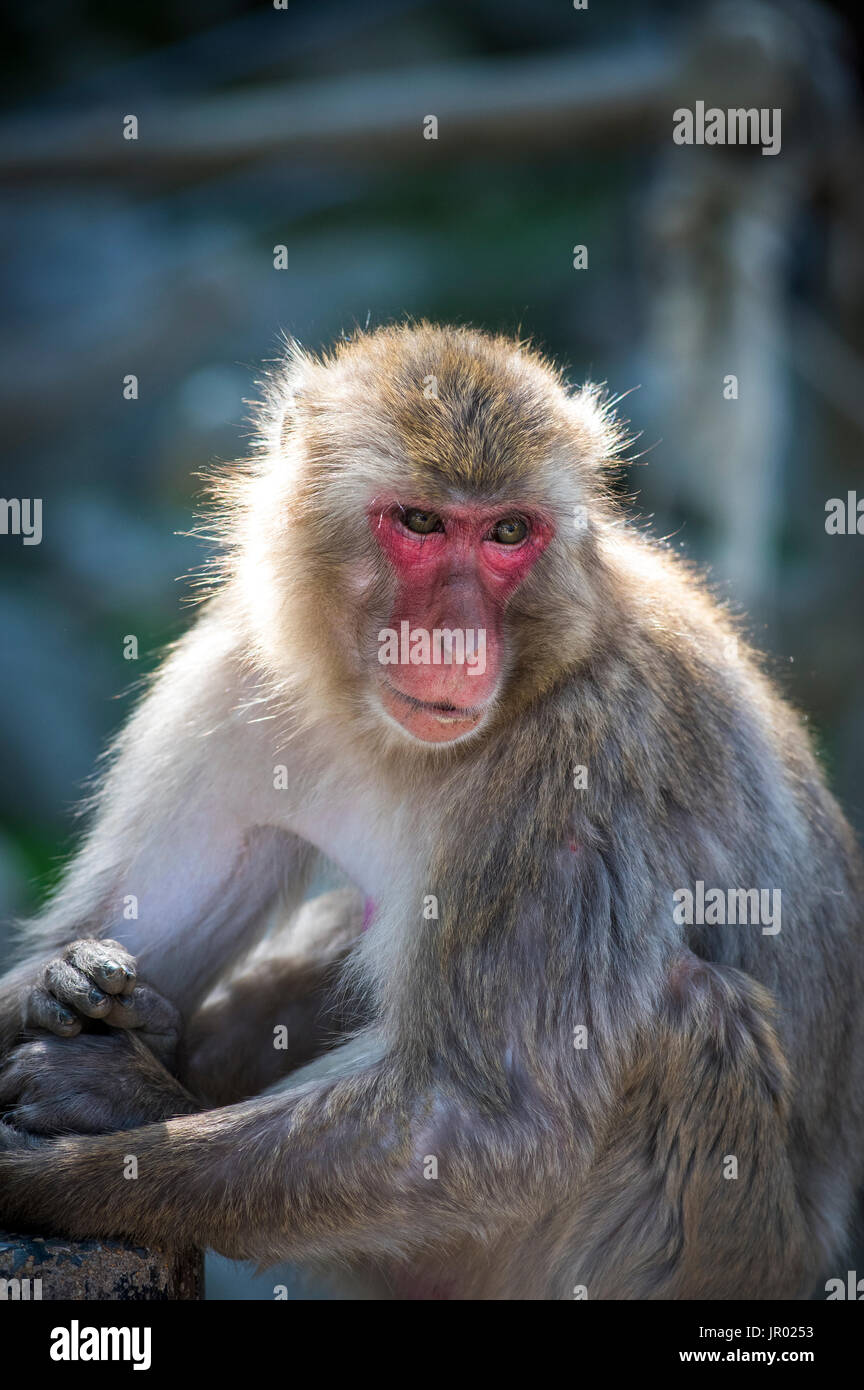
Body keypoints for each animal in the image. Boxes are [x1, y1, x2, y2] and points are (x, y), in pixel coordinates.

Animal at [0, 322, 861, 1300]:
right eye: (419, 522)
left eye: (509, 532)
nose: (454, 637)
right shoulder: (233, 672)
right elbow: (133, 928)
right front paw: (63, 985)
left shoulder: (581, 757)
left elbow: (484, 1123)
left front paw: (64, 1156)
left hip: (718, 1248)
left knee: (693, 1015)